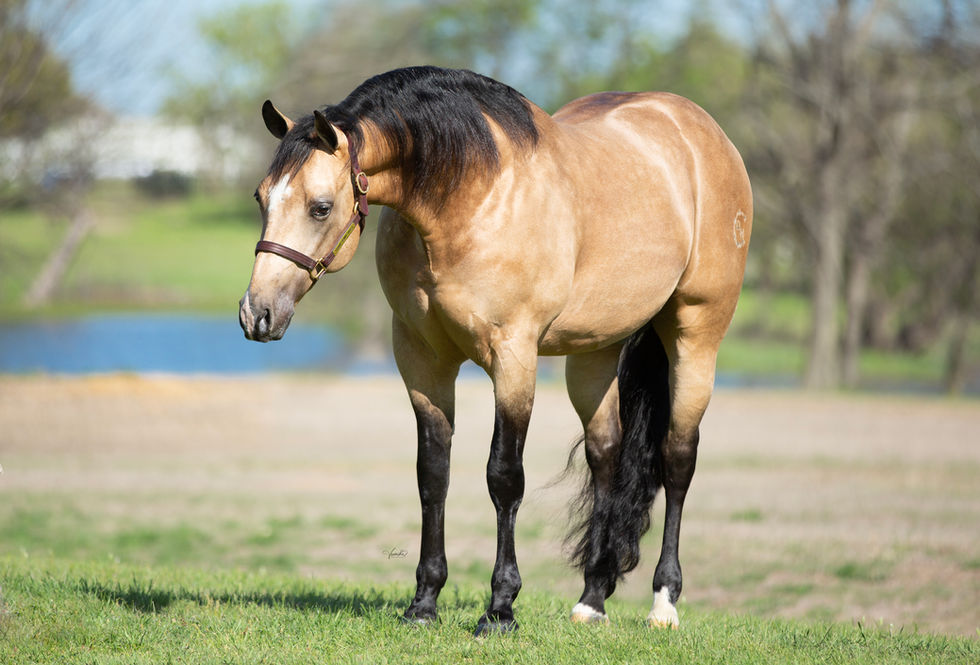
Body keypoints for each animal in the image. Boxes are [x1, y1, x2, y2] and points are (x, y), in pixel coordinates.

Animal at [239, 66, 751, 636]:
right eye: (261, 198)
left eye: (320, 207)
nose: (257, 313)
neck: (469, 198)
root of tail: (703, 133)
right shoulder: (422, 359)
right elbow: (432, 475)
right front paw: (423, 602)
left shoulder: (513, 358)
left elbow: (504, 477)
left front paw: (501, 607)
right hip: (595, 353)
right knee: (607, 456)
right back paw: (592, 599)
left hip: (696, 336)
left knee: (677, 460)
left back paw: (664, 603)